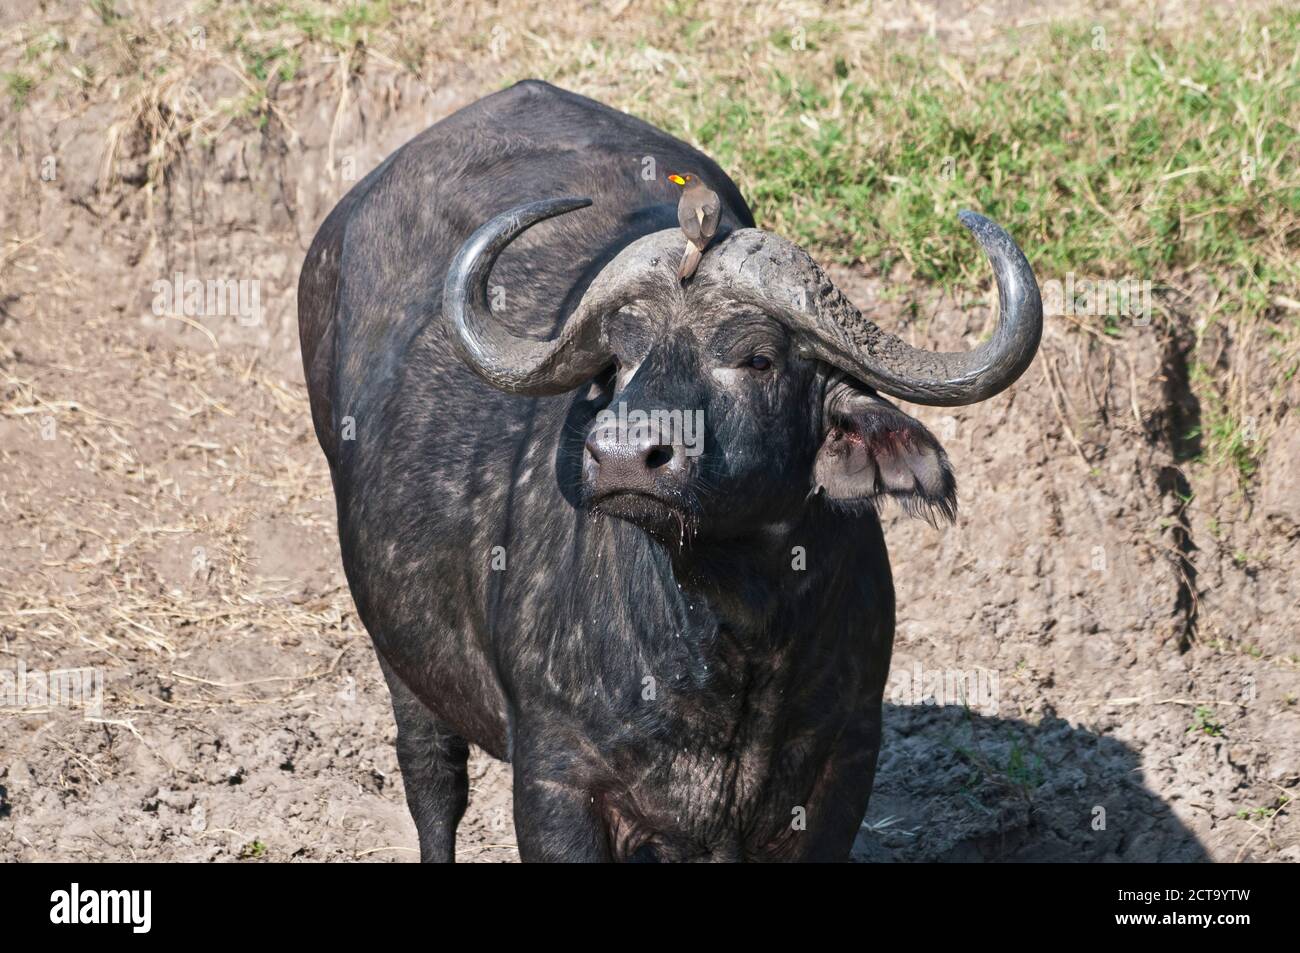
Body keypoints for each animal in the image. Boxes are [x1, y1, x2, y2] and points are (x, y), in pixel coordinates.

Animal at [297, 80, 1041, 862]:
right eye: (623, 357)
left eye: (758, 358)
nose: (626, 455)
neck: (732, 632)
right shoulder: (555, 779)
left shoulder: (842, 769)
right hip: (401, 657)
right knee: (433, 777)